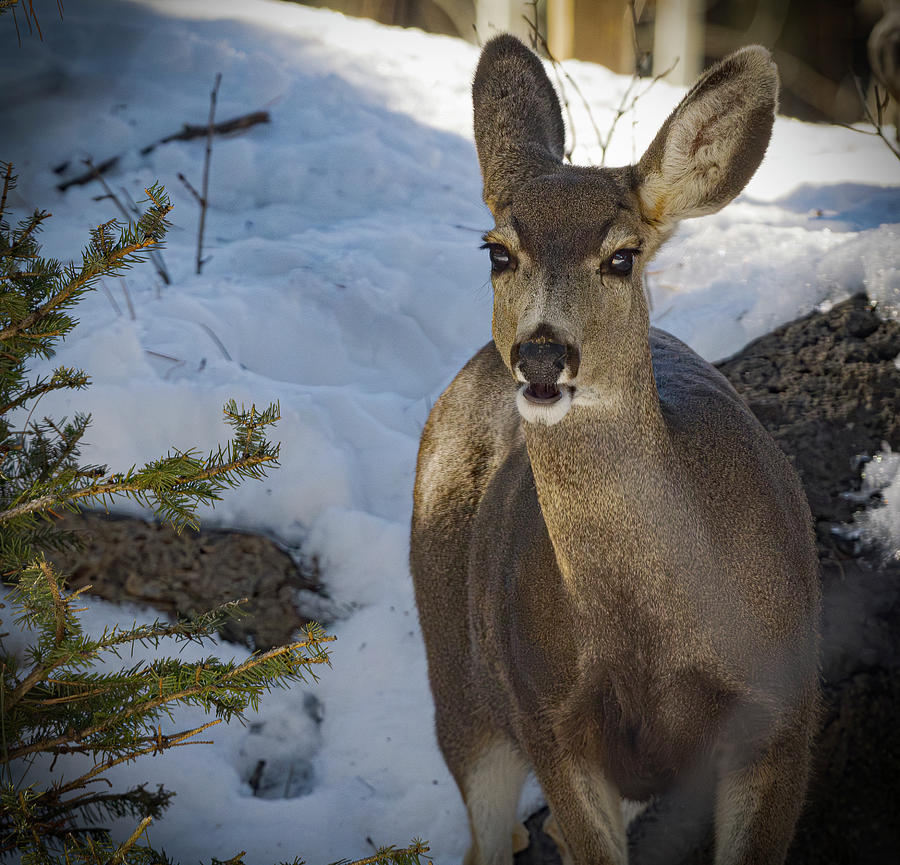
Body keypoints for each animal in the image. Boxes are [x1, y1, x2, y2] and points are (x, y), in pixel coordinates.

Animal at [410, 34, 820, 865]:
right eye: (498, 252)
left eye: (623, 256)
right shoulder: (549, 716)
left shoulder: (784, 713)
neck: (651, 636)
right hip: (459, 673)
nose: (541, 353)